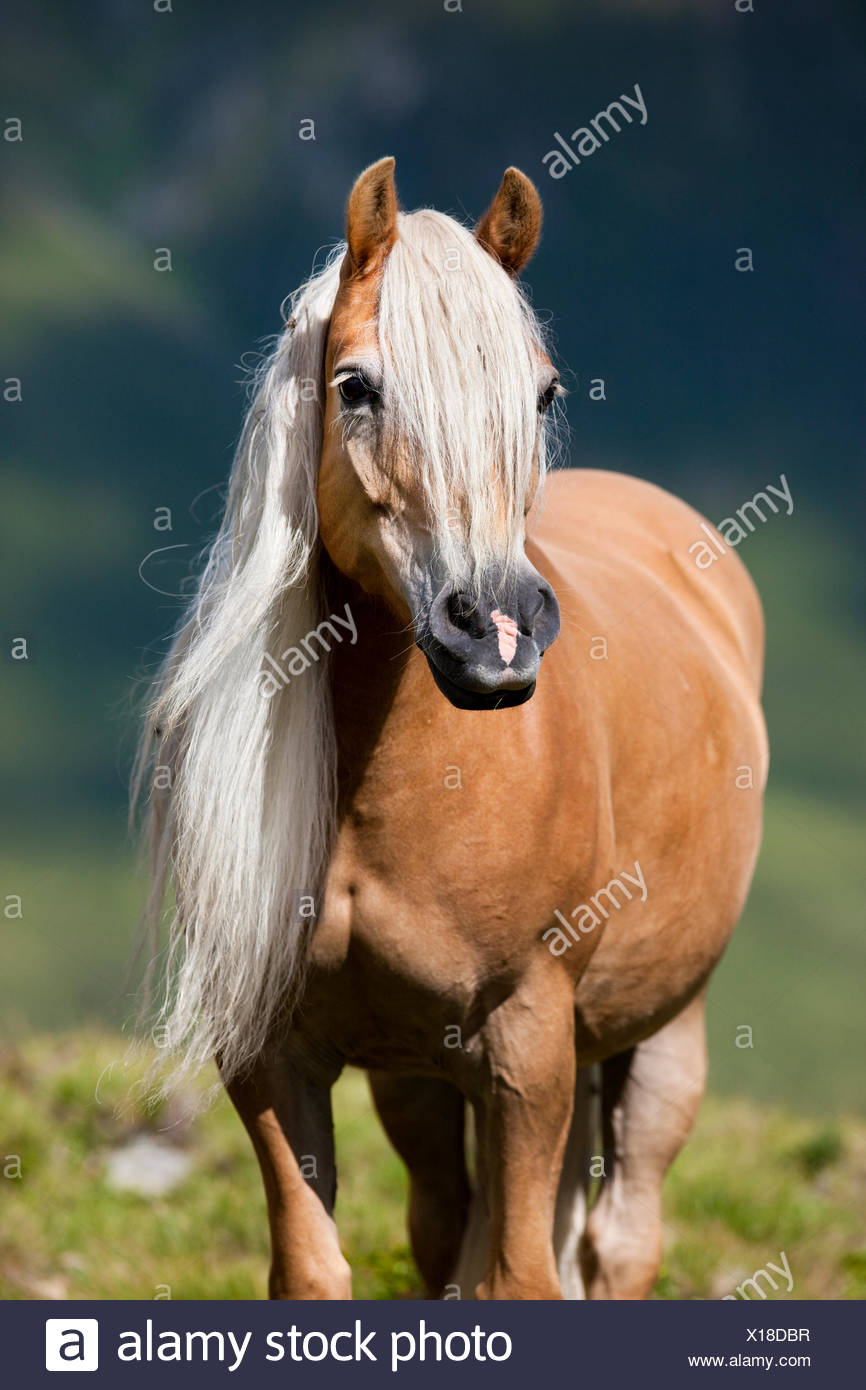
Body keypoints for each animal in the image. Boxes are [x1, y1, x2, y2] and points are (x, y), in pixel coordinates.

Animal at [136, 157, 768, 1300]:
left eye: (543, 391)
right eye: (355, 386)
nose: (497, 633)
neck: (388, 793)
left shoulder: (527, 1042)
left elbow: (519, 1276)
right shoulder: (272, 1054)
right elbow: (316, 1269)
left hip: (661, 1032)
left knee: (619, 1240)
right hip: (422, 1077)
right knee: (444, 1223)